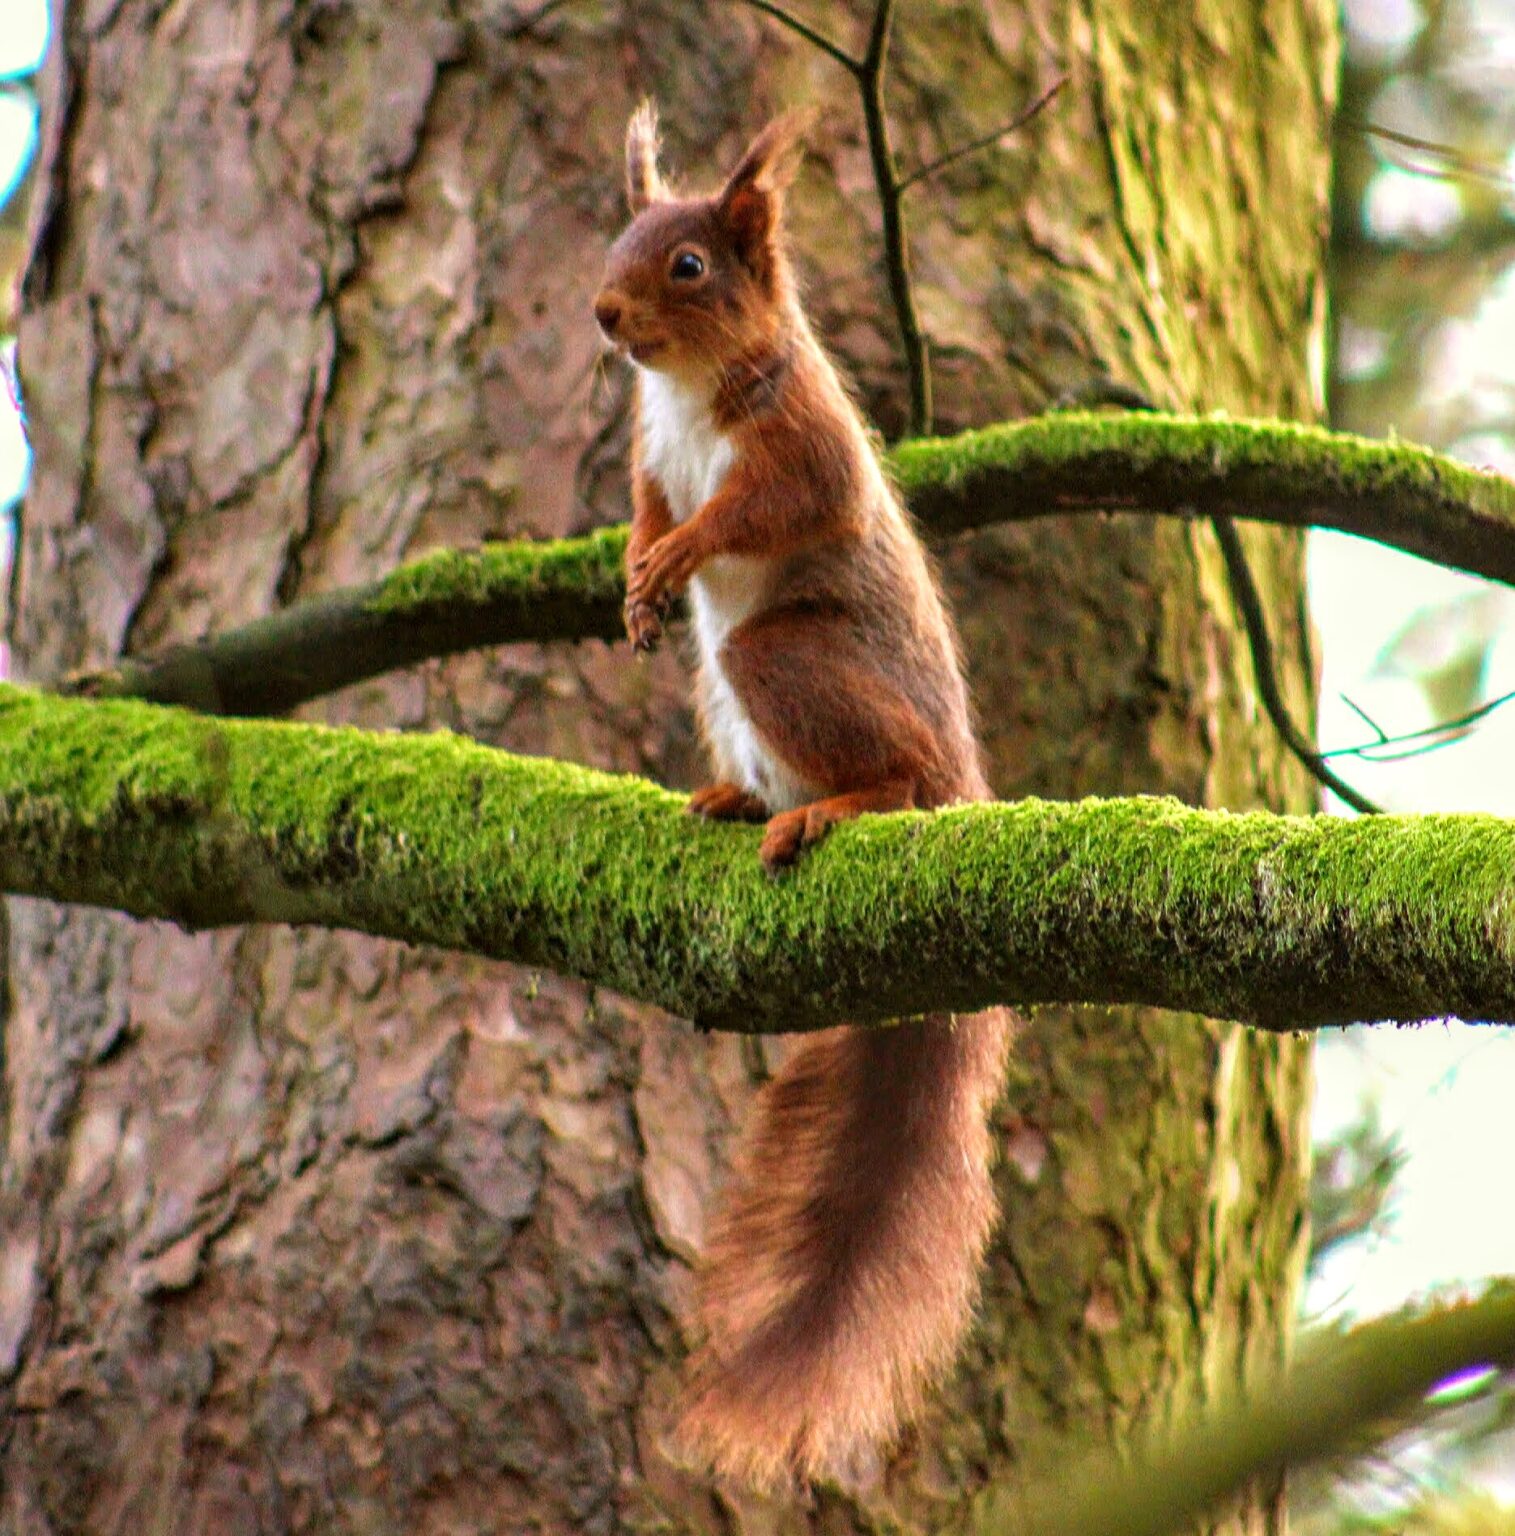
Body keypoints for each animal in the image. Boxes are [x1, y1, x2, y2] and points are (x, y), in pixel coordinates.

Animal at [593, 103, 1013, 1487]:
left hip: (780, 669)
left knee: (885, 772)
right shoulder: (647, 454)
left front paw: (680, 553)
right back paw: (733, 802)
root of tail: (962, 779)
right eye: (616, 245)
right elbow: (643, 505)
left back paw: (841, 806)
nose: (604, 313)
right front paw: (636, 576)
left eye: (689, 267)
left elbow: (766, 507)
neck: (681, 390)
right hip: (723, 698)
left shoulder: (799, 439)